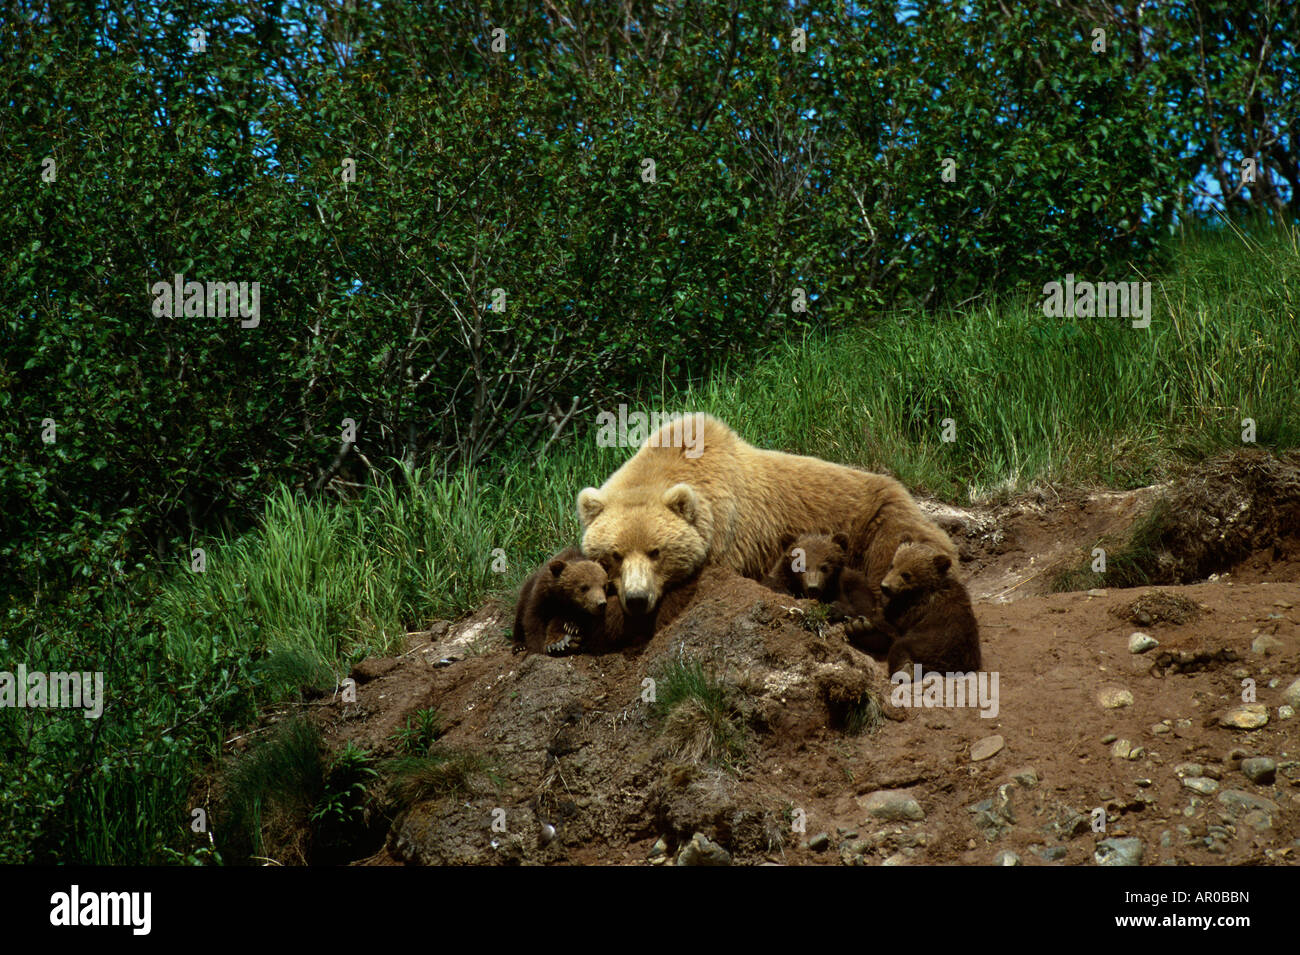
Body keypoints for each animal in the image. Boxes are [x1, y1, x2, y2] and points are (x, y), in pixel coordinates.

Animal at [577, 412, 956, 619]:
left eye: (656, 551)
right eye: (615, 554)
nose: (636, 599)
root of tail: (900, 486)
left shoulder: (732, 537)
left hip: (879, 520)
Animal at [845, 540, 982, 678]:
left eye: (906, 574)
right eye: (892, 565)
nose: (885, 586)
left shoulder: (917, 608)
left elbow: (892, 621)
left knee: (900, 647)